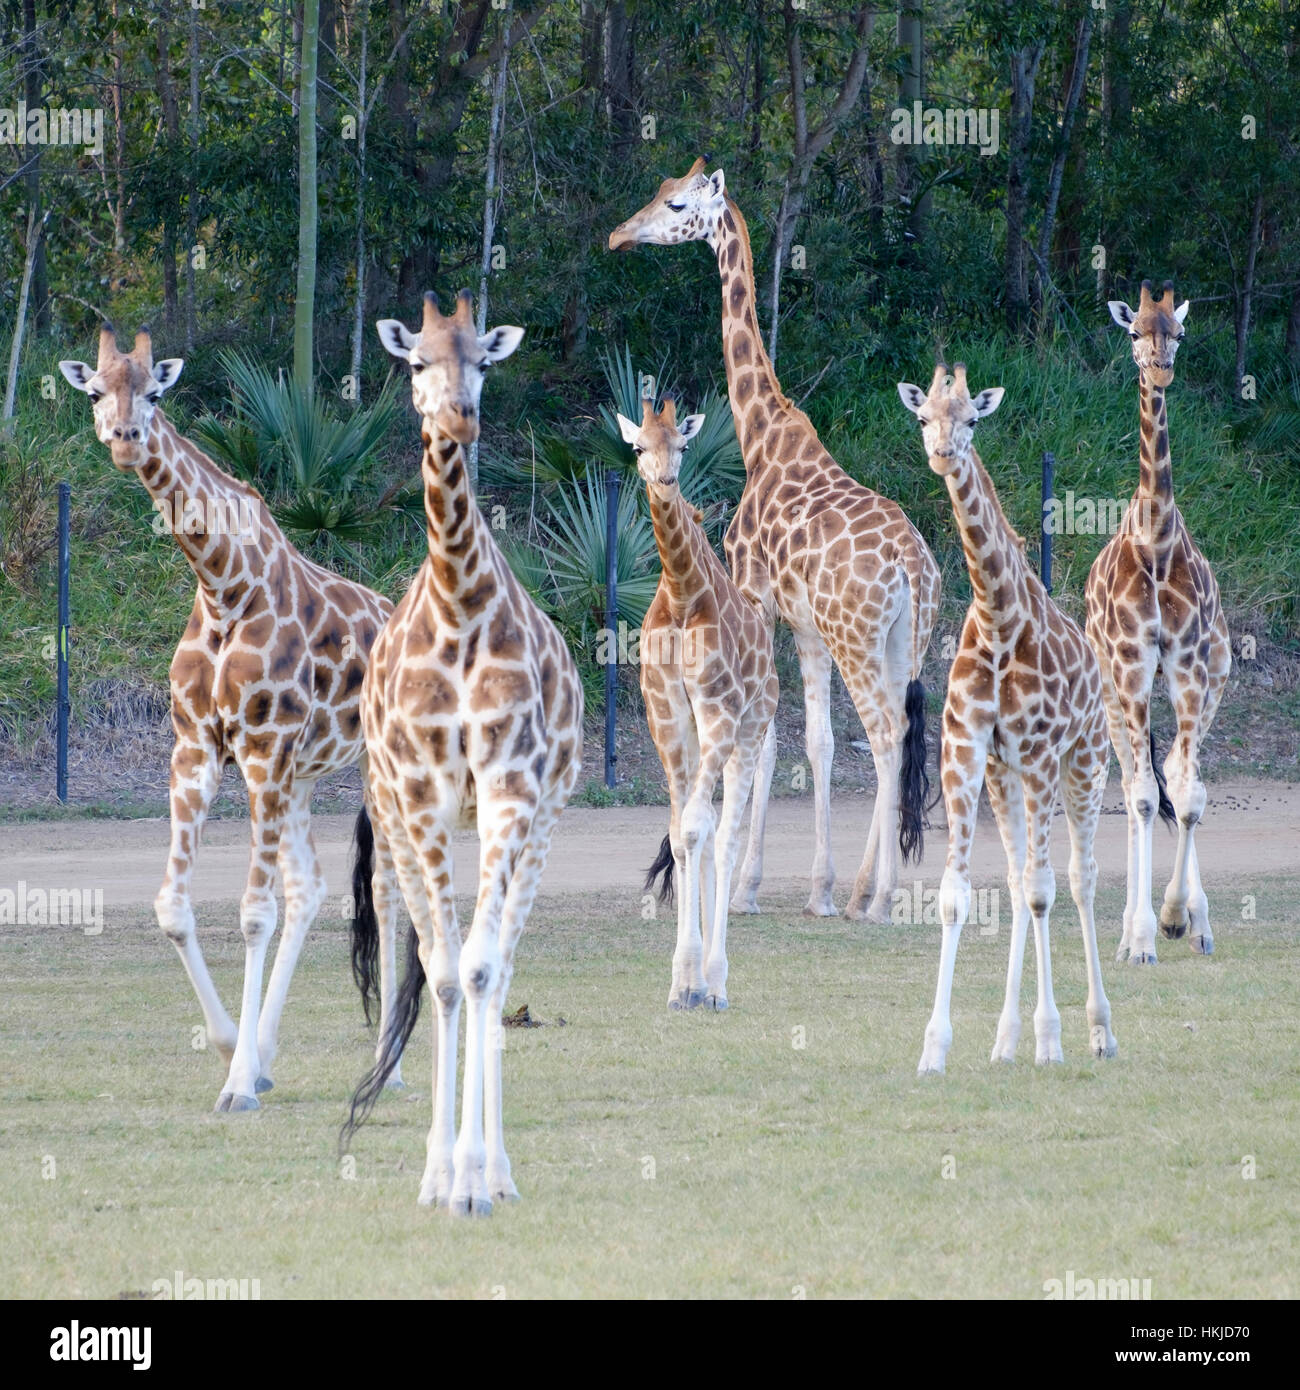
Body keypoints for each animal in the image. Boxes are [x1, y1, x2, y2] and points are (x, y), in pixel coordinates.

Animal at [58, 326, 404, 1111]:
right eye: (94, 392)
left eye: (155, 393)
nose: (124, 437)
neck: (222, 585)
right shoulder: (198, 749)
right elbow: (173, 906)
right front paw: (231, 1051)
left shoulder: (264, 752)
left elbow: (252, 913)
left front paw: (239, 1083)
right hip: (305, 778)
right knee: (312, 888)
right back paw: (272, 1050)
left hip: (379, 769)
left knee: (391, 892)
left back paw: (389, 1066)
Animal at [343, 290, 583, 1215]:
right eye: (417, 360)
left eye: (484, 358)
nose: (460, 417)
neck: (457, 600)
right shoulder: (421, 798)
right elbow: (444, 976)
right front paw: (441, 1174)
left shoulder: (513, 791)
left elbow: (481, 971)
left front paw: (479, 1178)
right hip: (414, 826)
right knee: (441, 963)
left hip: (539, 822)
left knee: (501, 967)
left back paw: (501, 1172)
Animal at [609, 159, 941, 923]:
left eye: (677, 205)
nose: (619, 235)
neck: (759, 432)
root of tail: (914, 566)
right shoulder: (805, 626)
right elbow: (816, 743)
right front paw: (814, 888)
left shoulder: (758, 601)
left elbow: (762, 746)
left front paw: (743, 885)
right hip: (905, 640)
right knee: (900, 734)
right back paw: (864, 890)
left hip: (859, 637)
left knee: (886, 734)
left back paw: (876, 898)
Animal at [897, 364, 1116, 1074]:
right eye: (923, 417)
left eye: (971, 419)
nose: (943, 453)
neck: (997, 617)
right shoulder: (966, 752)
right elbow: (956, 894)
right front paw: (934, 1049)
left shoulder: (1044, 754)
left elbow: (1049, 889)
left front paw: (1051, 1040)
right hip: (1006, 777)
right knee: (1022, 881)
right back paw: (1005, 1038)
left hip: (1087, 762)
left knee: (1077, 878)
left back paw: (1098, 1031)